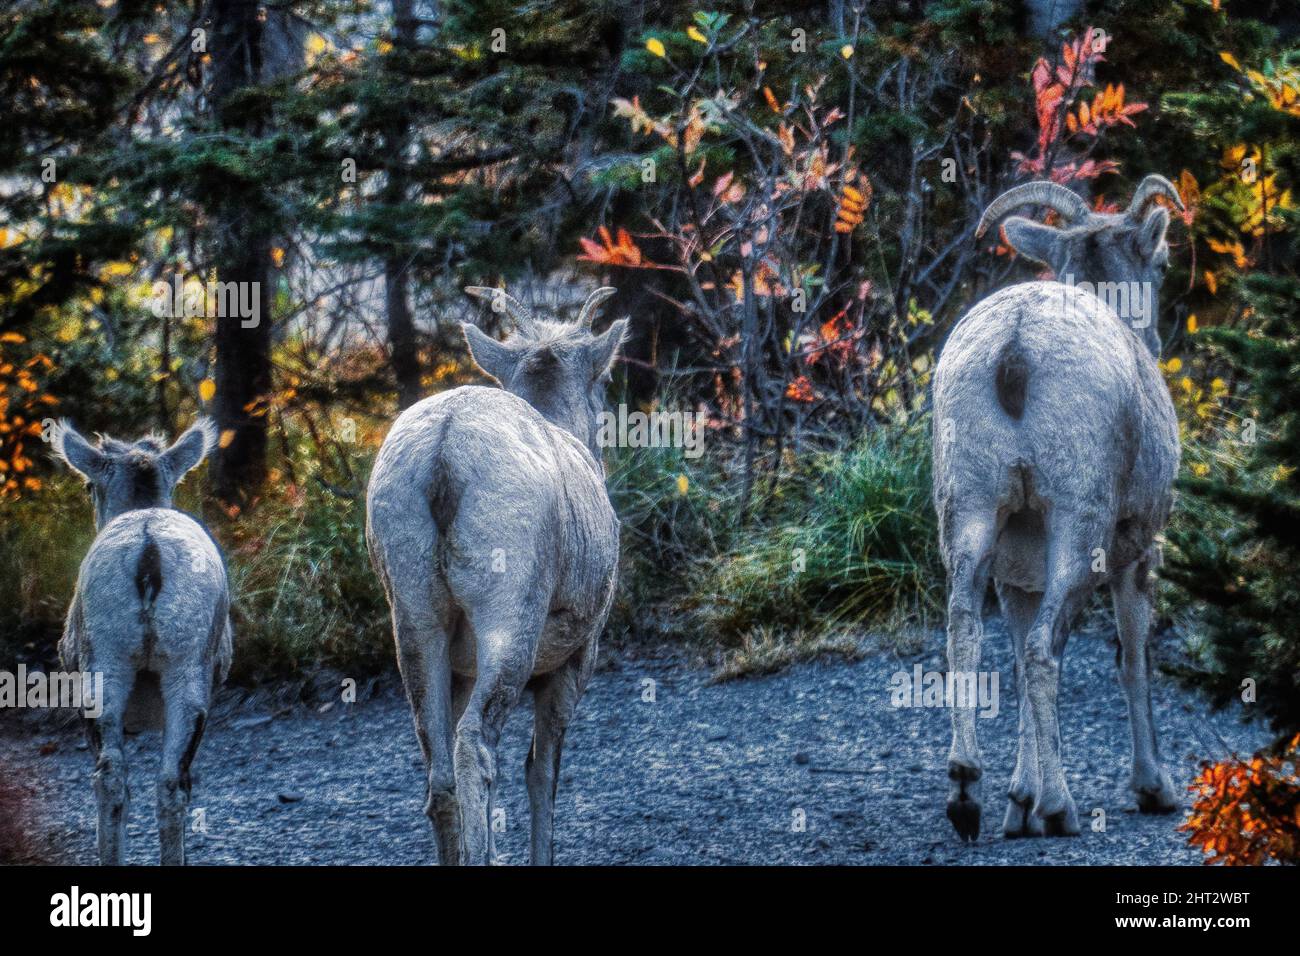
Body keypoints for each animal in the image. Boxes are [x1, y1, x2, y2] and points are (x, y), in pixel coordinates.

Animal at [54, 418, 232, 864]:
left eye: (88, 487)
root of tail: (148, 553)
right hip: (183, 665)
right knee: (162, 781)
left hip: (110, 661)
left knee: (123, 778)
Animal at [366, 285, 628, 865]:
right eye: (603, 381)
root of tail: (442, 457)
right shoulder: (580, 654)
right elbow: (542, 771)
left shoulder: (459, 667)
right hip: (511, 614)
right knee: (476, 746)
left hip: (413, 616)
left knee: (438, 773)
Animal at [932, 176, 1184, 841]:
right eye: (1163, 263)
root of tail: (1013, 348)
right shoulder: (1135, 555)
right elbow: (1131, 658)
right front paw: (1153, 788)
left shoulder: (1017, 574)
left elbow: (1017, 666)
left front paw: (1017, 803)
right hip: (1079, 526)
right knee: (1046, 652)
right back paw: (1061, 808)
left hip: (969, 512)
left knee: (965, 629)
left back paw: (966, 791)